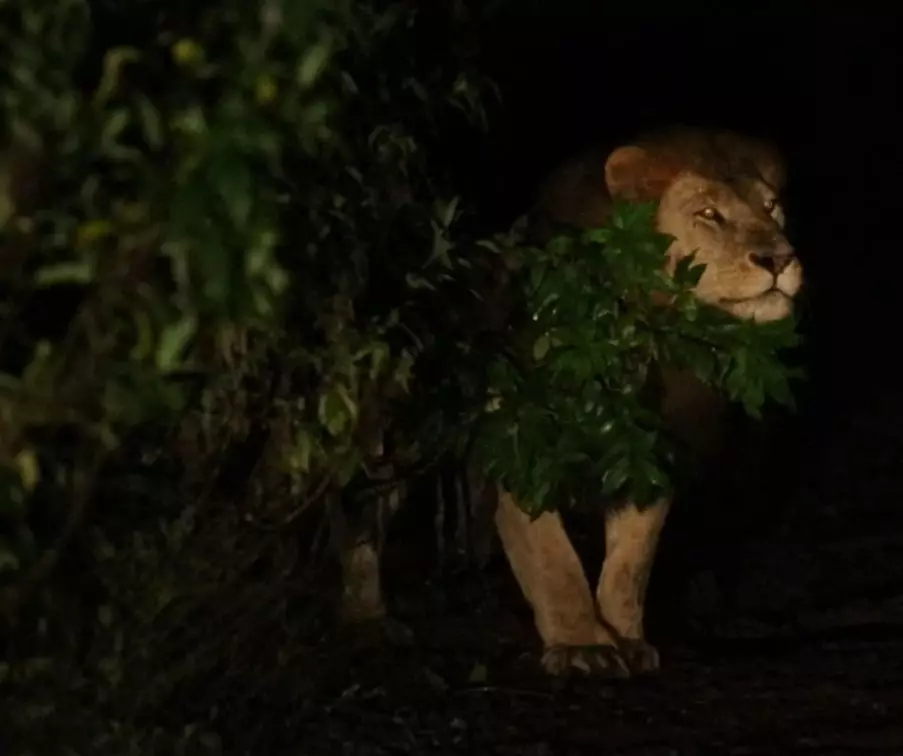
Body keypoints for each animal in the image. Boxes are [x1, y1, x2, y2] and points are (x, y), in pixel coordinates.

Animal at [336, 127, 800, 676]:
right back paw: (366, 622)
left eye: (771, 207)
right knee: (361, 515)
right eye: (709, 213)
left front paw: (626, 638)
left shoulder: (650, 446)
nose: (780, 260)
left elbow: (632, 558)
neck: (653, 332)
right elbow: (550, 556)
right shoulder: (519, 440)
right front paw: (583, 646)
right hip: (391, 430)